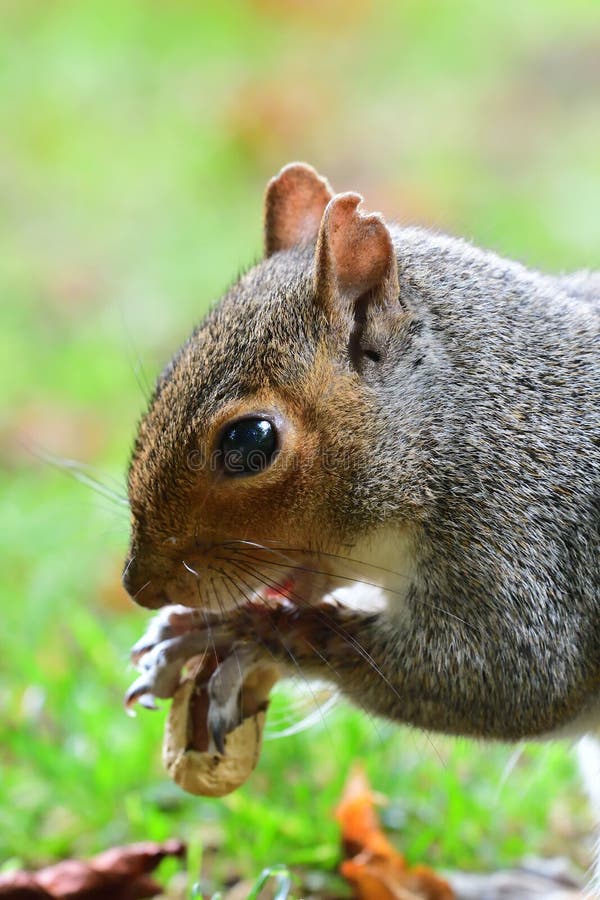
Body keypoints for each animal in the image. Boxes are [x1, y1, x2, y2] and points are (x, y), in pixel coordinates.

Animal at [123, 160, 600, 830]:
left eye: (249, 441)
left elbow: (510, 678)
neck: (462, 425)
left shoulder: (531, 545)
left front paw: (249, 635)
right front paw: (190, 629)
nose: (139, 586)